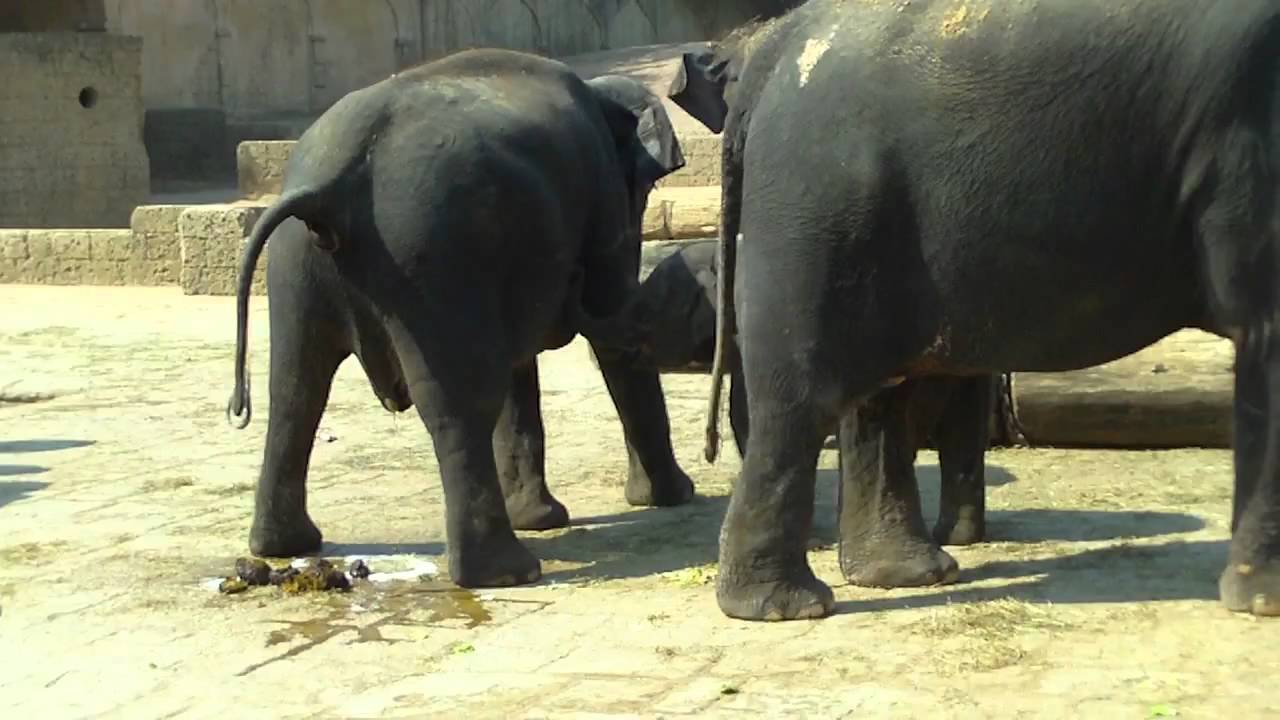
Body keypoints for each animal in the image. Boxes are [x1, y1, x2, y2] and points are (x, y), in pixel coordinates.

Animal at [224, 48, 695, 588]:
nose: (569, 278)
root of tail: (333, 177)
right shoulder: (602, 202)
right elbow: (611, 336)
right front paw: (675, 497)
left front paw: (541, 518)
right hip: (429, 251)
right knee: (460, 402)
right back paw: (505, 572)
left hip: (298, 262)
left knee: (297, 390)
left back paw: (284, 545)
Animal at [667, 0, 1280, 620]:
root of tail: (776, 44)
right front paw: (1265, 604)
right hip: (815, 213)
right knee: (801, 397)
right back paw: (788, 606)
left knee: (876, 397)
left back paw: (909, 574)